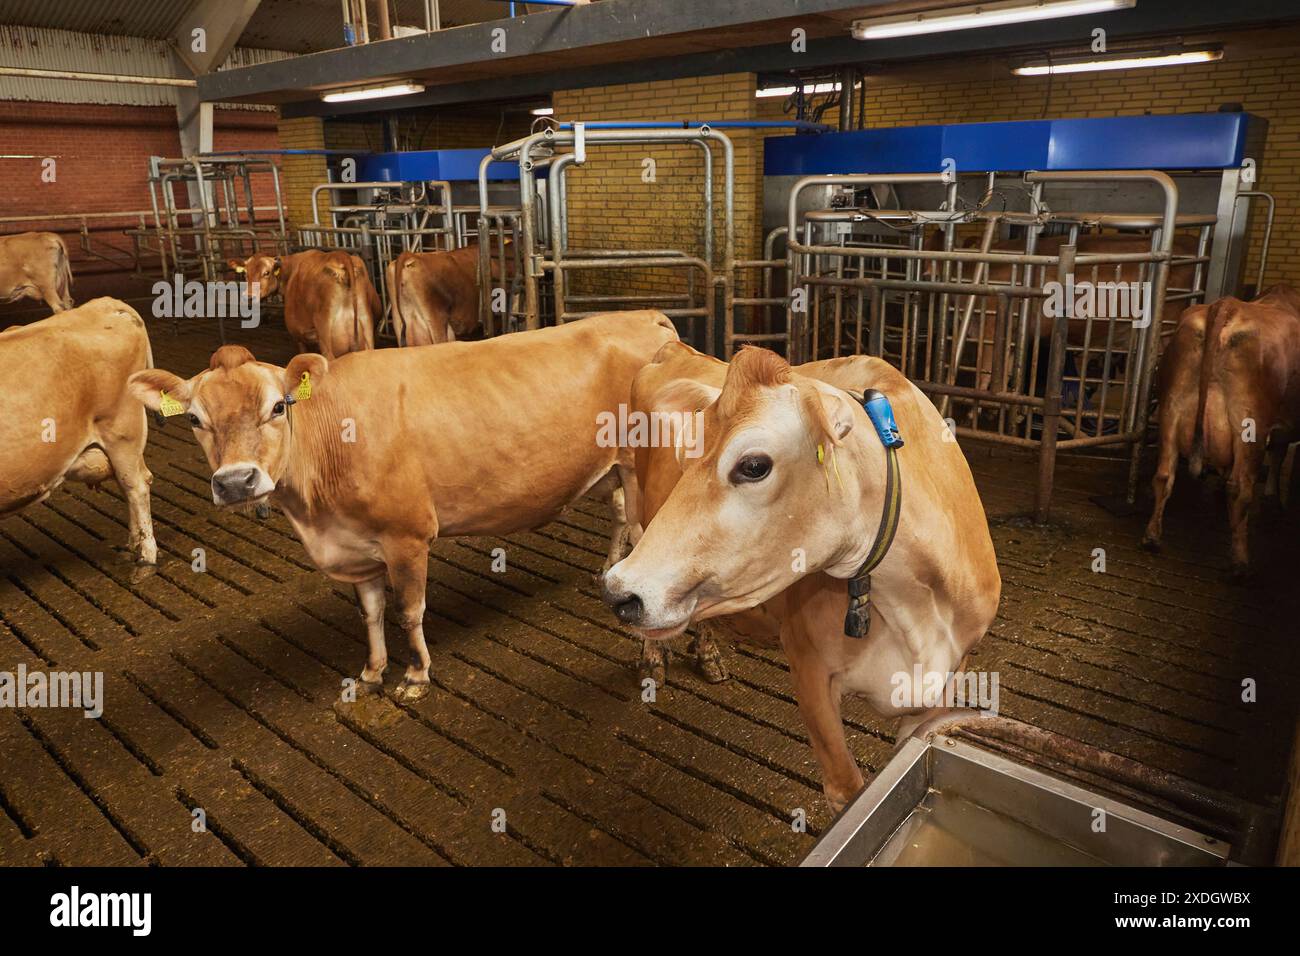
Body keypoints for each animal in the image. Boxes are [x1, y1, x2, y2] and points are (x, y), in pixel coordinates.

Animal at [127, 310, 678, 701]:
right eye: (194, 419)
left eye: (279, 406)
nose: (236, 482)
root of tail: (645, 316)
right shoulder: (356, 547)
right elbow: (370, 612)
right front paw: (372, 672)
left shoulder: (407, 537)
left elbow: (409, 611)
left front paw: (415, 675)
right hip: (611, 471)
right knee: (620, 518)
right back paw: (609, 566)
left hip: (641, 472)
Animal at [228, 250, 378, 358]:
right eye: (245, 274)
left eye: (266, 272)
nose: (248, 297)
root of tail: (340, 256)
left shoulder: (298, 335)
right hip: (366, 330)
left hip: (327, 340)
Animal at [601, 343, 1001, 810]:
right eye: (686, 457)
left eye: (754, 465)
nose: (618, 593)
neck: (916, 611)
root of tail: (674, 348)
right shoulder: (809, 667)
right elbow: (848, 791)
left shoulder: (949, 678)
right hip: (634, 499)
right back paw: (652, 660)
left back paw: (708, 655)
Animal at [1143, 284, 1300, 576]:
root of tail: (1228, 306)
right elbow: (1278, 455)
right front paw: (1273, 496)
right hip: (1250, 423)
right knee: (1239, 488)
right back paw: (1240, 560)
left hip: (1171, 407)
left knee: (1164, 474)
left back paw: (1152, 536)